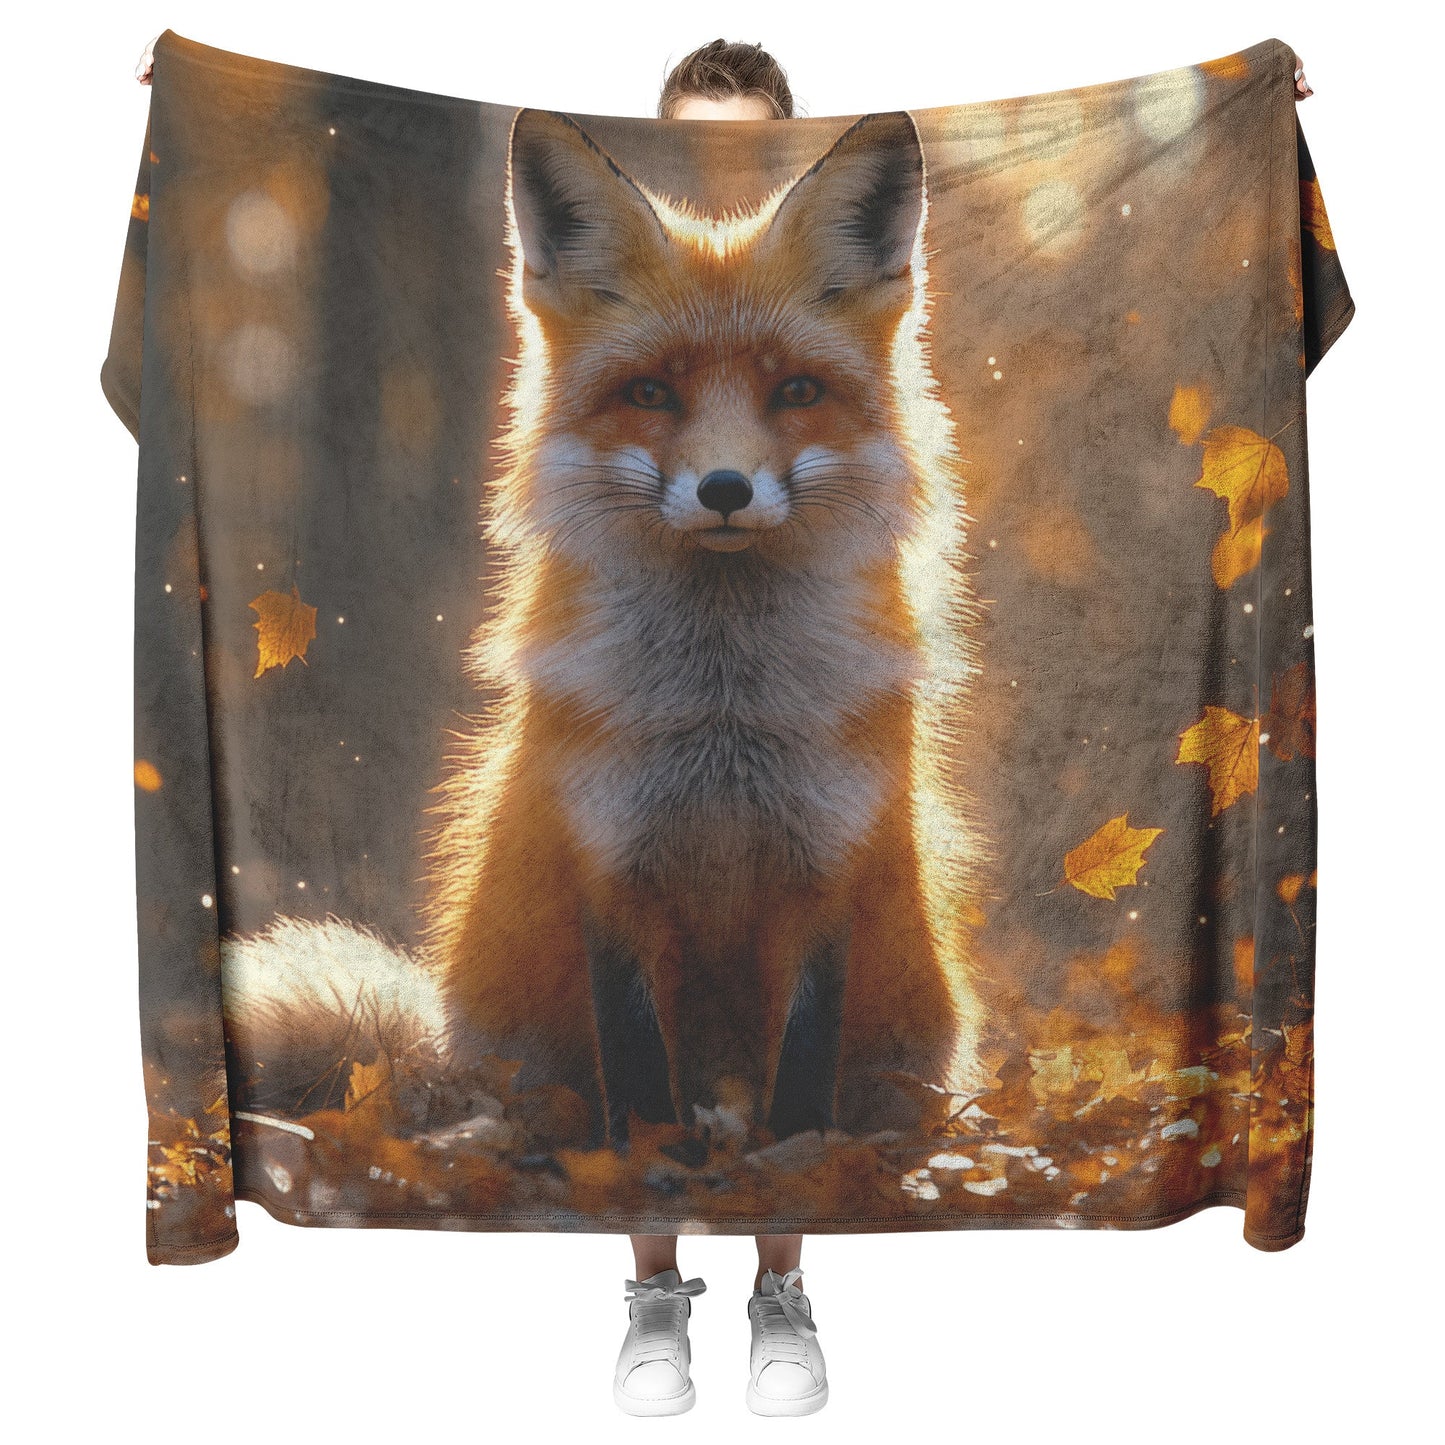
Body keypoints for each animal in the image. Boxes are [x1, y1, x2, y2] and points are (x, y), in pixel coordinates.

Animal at [413, 105, 993, 1148]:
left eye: (795, 391)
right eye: (651, 392)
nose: (725, 489)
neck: (725, 716)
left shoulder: (828, 865)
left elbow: (803, 1064)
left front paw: (800, 1161)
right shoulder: (610, 864)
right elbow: (637, 1064)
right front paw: (643, 1163)